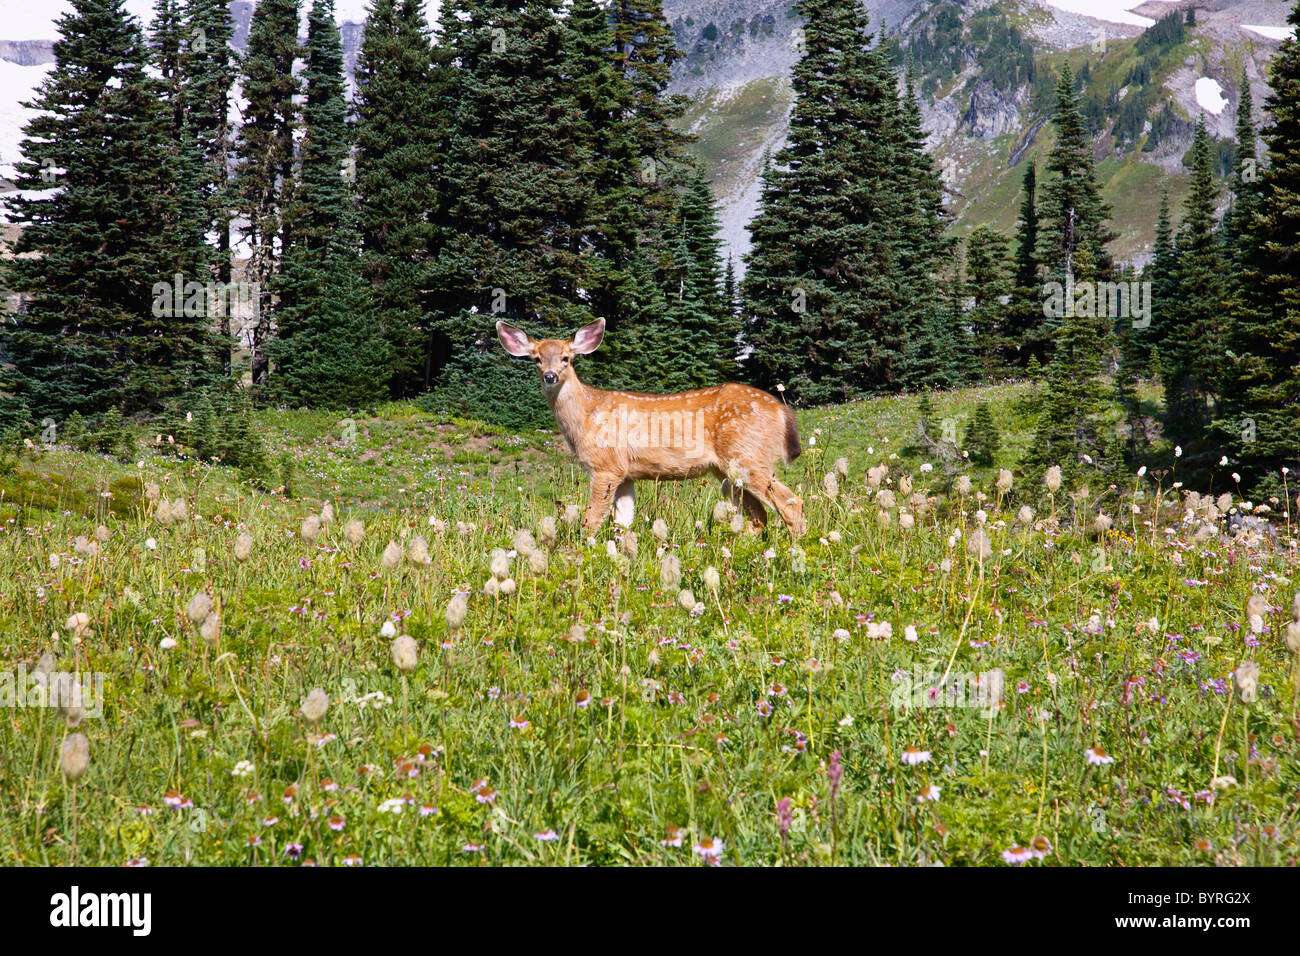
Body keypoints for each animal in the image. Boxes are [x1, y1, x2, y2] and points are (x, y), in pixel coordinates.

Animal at [496, 317, 805, 535]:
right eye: (536, 359)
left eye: (566, 358)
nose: (550, 376)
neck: (586, 416)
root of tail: (781, 411)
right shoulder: (626, 473)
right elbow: (623, 523)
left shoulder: (605, 466)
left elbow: (592, 520)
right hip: (727, 471)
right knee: (760, 515)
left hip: (748, 456)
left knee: (792, 504)